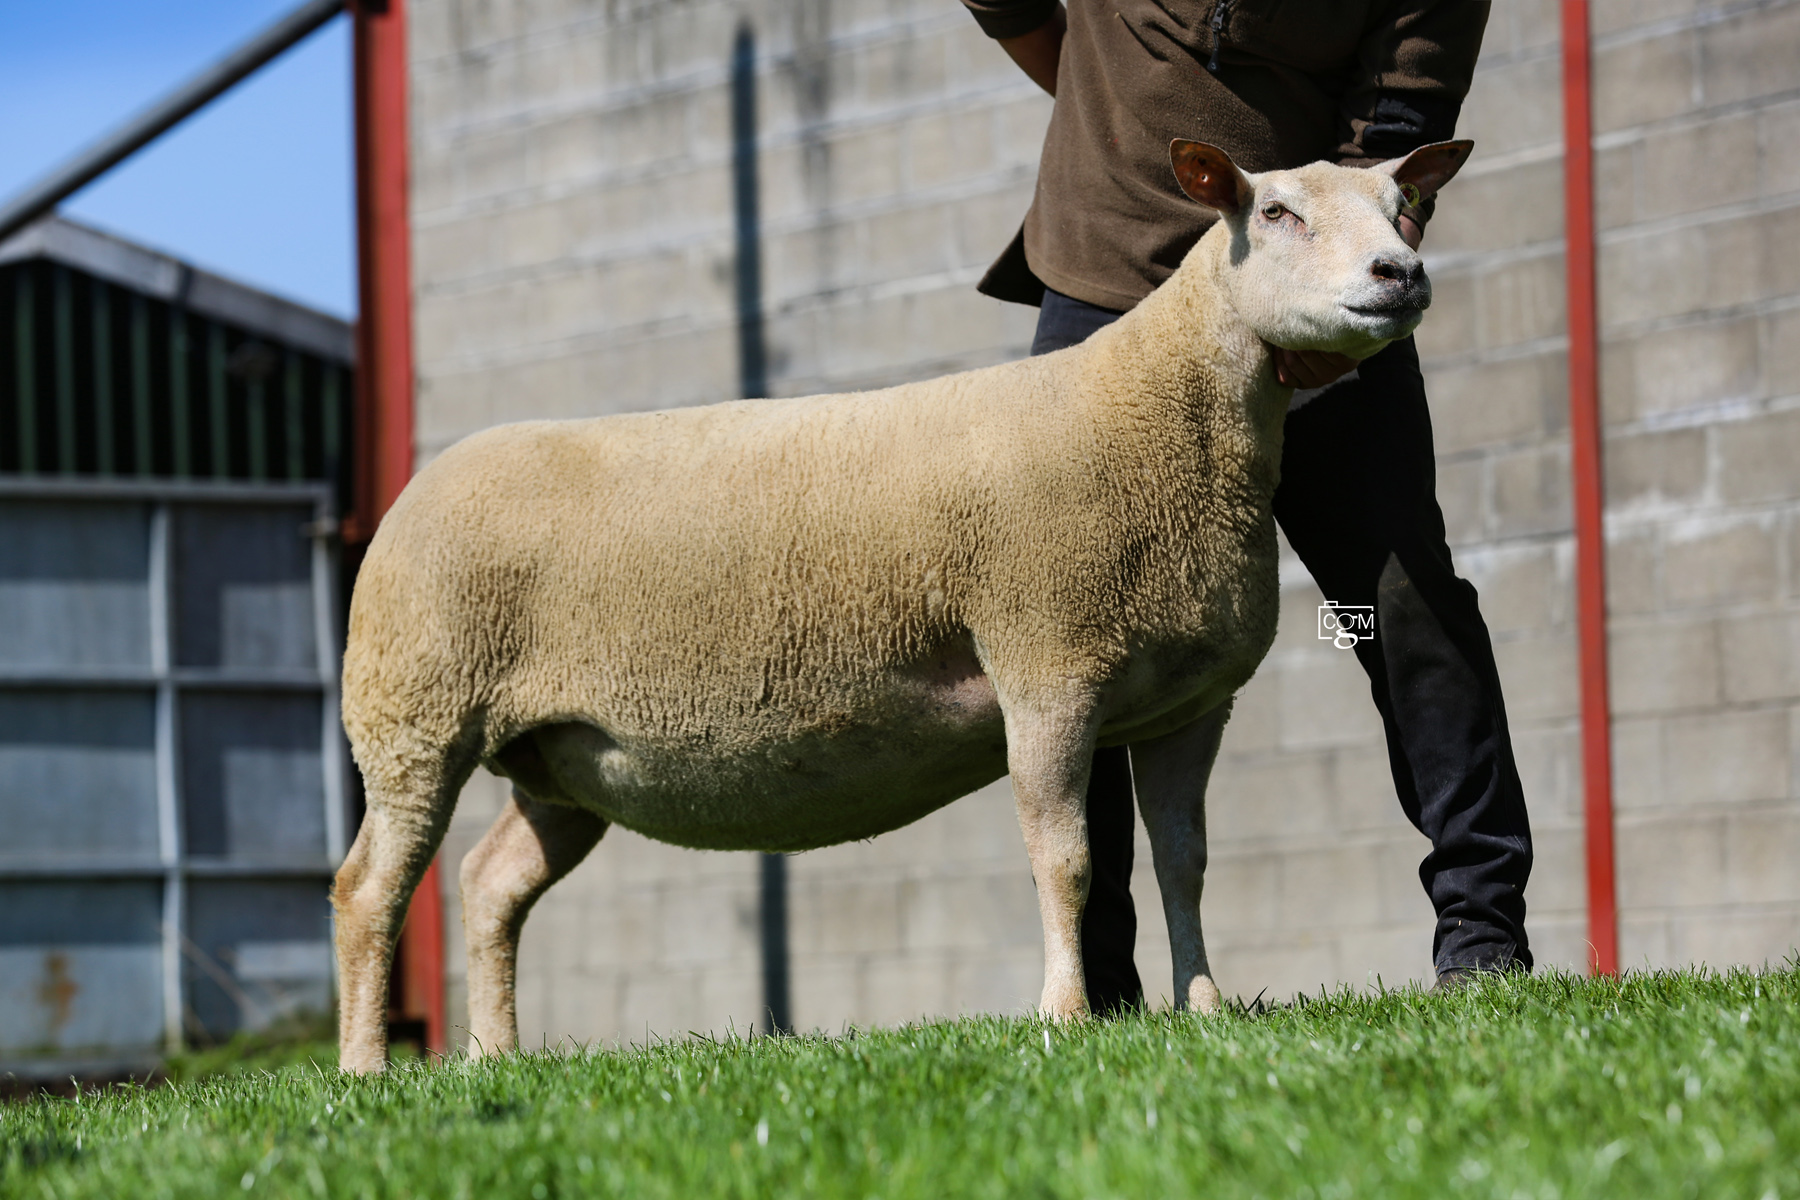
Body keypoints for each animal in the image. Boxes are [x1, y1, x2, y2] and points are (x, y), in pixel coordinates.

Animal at [333, 138, 1473, 1072]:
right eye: (1275, 211)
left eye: (1404, 207)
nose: (1401, 275)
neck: (1154, 414)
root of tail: (419, 483)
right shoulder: (1045, 662)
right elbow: (1066, 860)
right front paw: (1065, 1018)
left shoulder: (1188, 702)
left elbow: (1183, 861)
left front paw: (1203, 1008)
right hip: (413, 713)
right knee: (367, 893)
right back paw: (367, 1074)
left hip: (563, 758)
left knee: (489, 885)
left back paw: (496, 1060)